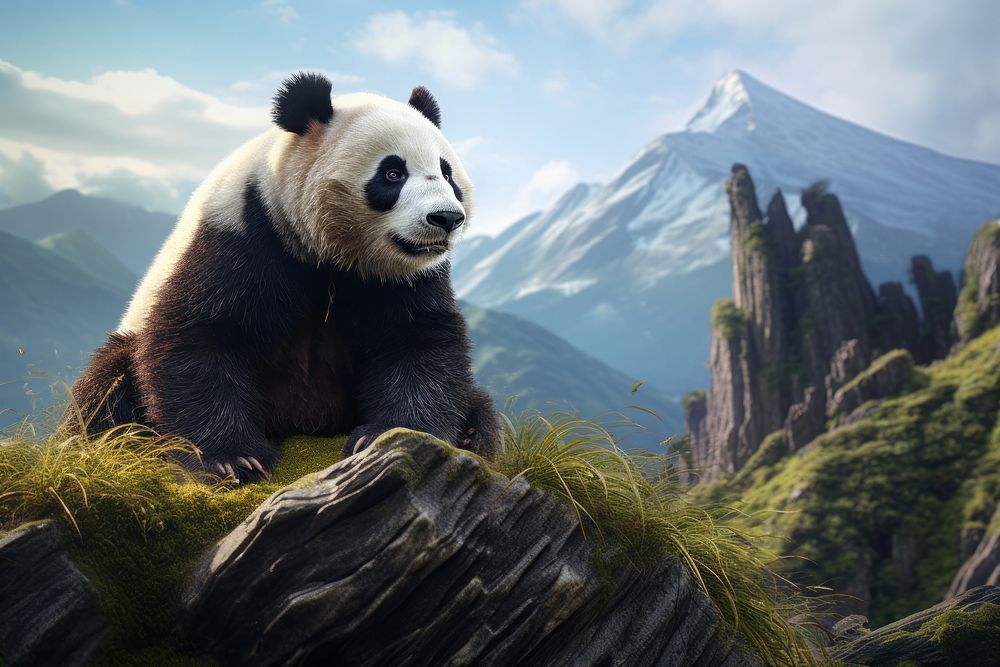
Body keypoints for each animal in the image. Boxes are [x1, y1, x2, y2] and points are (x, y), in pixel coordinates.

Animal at [72, 72, 500, 482]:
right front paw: (234, 461)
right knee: (108, 389)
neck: (326, 252)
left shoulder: (403, 278)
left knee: (477, 400)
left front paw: (388, 435)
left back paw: (472, 435)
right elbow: (199, 337)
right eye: (393, 173)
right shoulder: (241, 233)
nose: (446, 218)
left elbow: (416, 340)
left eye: (447, 173)